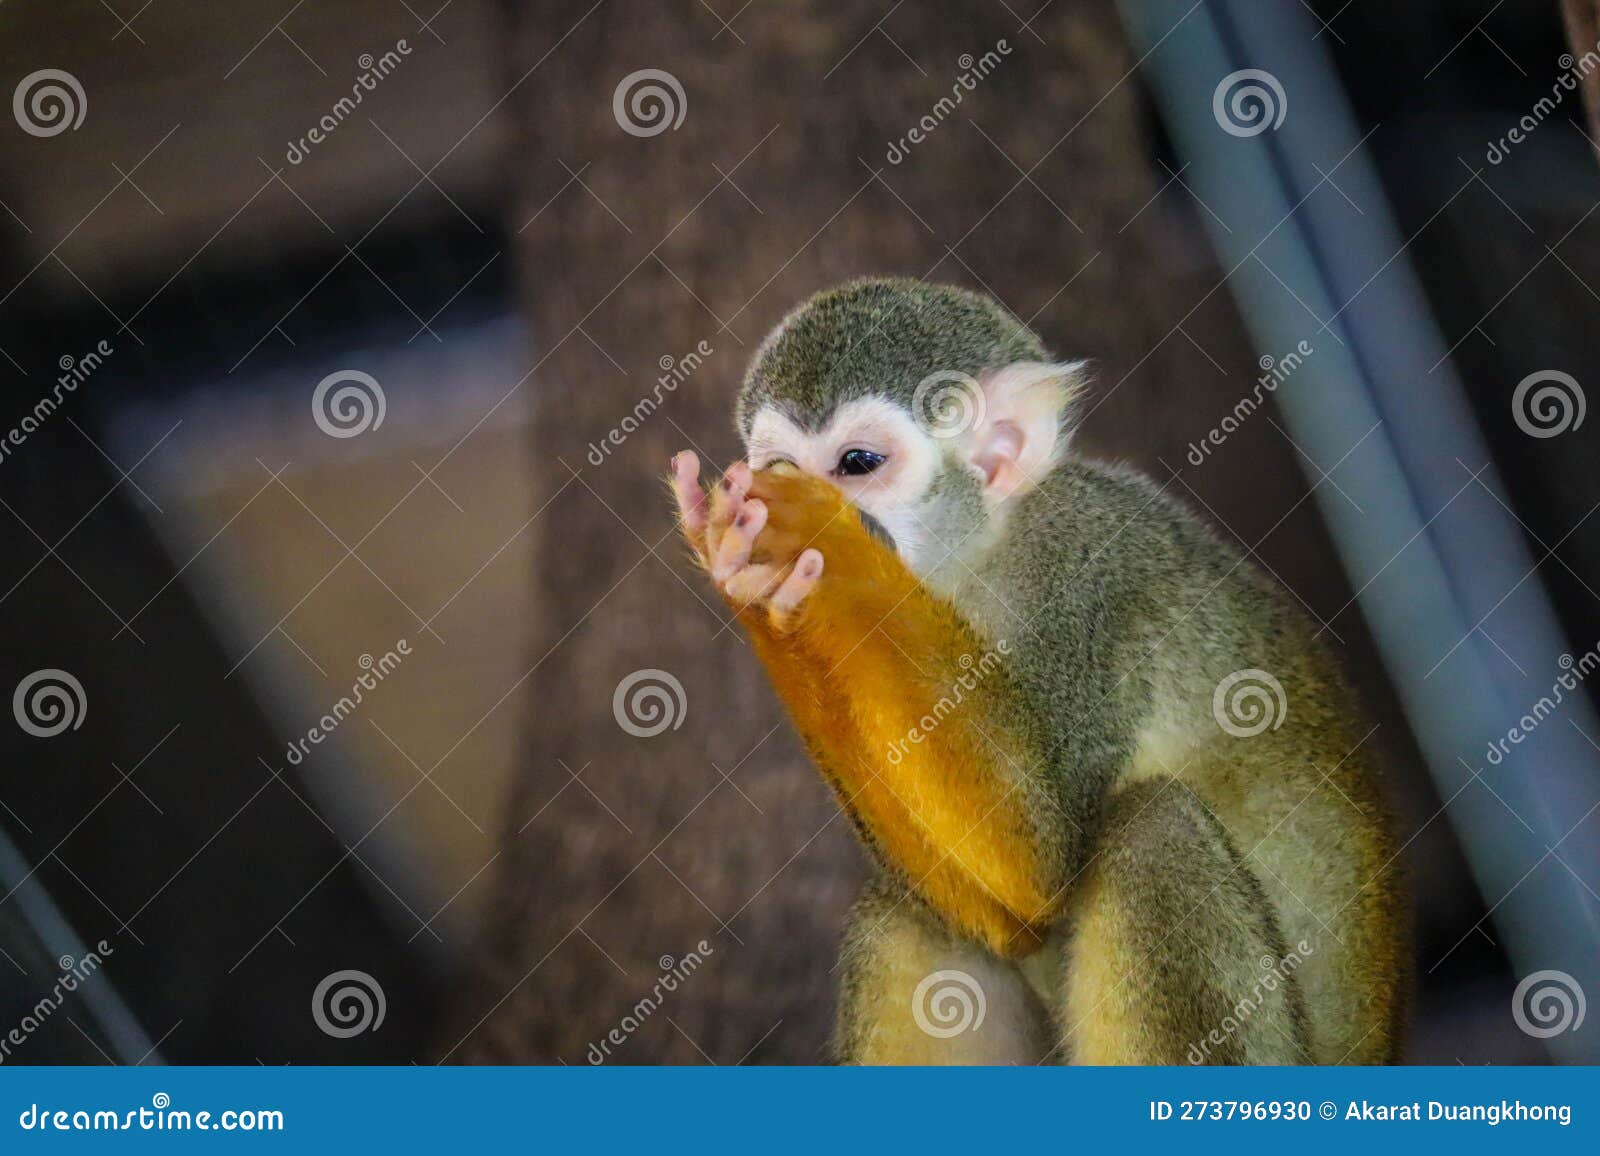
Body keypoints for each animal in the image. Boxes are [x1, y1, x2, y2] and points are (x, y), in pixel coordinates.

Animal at [669, 278, 1408, 1065]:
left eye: (858, 464)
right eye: (779, 460)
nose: (771, 496)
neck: (983, 553)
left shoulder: (1083, 579)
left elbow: (1040, 859)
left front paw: (812, 538)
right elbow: (1006, 917)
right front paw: (749, 571)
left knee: (1155, 831)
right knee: (908, 911)